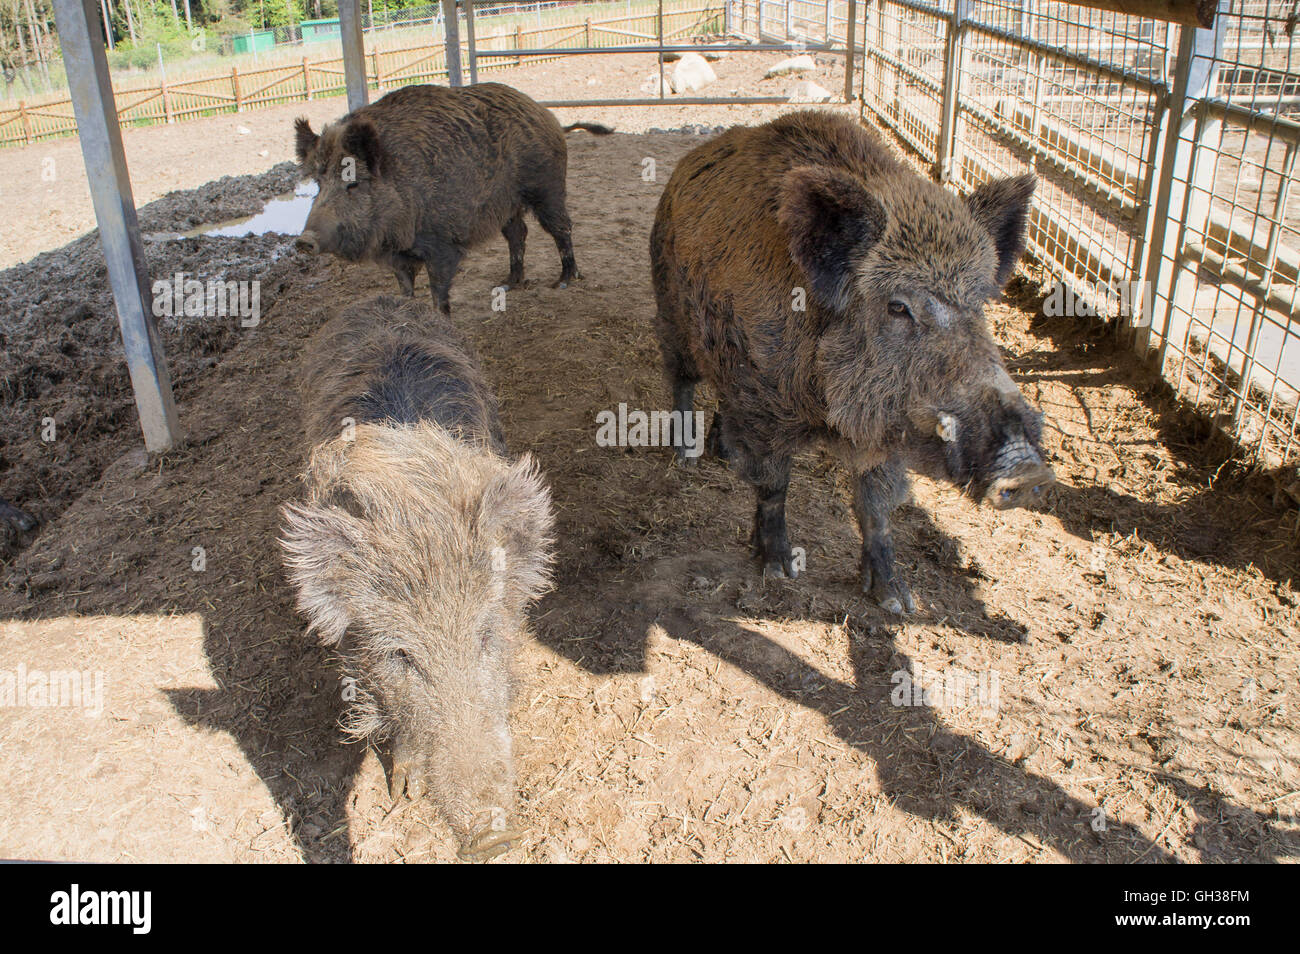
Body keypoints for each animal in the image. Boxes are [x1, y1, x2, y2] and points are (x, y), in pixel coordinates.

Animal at [293, 83, 611, 314]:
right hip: (506, 203)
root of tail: (548, 115)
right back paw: (508, 283)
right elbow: (405, 288)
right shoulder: (398, 255)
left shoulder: (443, 243)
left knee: (561, 227)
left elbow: (439, 292)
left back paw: (564, 282)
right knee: (517, 233)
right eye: (318, 183)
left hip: (547, 185)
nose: (304, 240)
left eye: (353, 183)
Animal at [650, 111, 1054, 614]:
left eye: (979, 304)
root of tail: (686, 166)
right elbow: (773, 486)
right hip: (671, 310)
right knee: (682, 380)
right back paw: (686, 456)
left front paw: (897, 602)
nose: (1030, 469)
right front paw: (778, 571)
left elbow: (877, 507)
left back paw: (722, 453)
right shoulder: (763, 403)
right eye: (898, 307)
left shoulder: (892, 427)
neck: (825, 414)